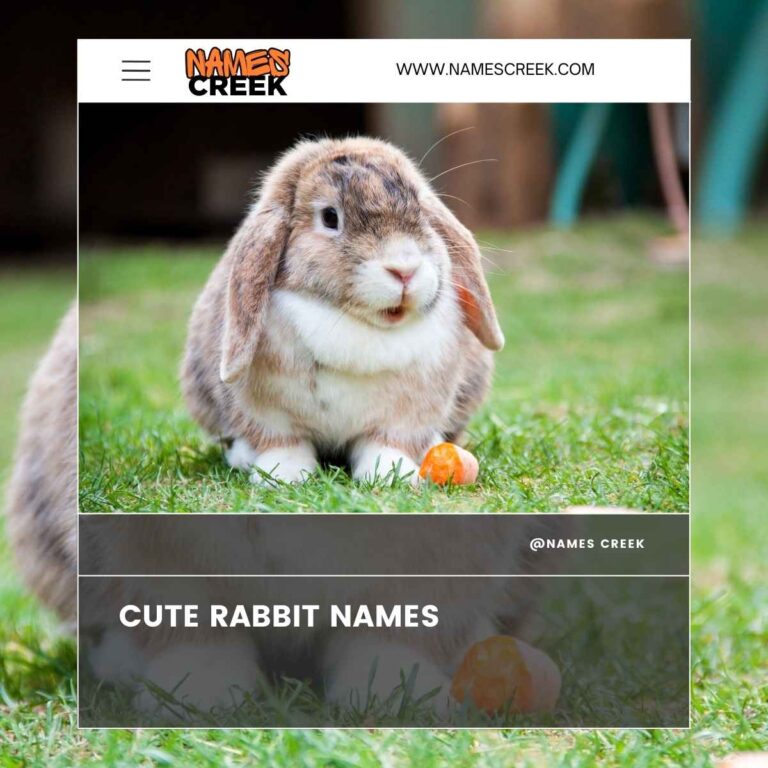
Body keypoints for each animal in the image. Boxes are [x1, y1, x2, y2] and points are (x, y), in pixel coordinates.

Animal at [181, 136, 504, 485]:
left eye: (420, 209)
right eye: (329, 217)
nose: (404, 269)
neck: (355, 323)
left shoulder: (405, 417)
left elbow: (385, 444)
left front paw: (391, 474)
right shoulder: (268, 415)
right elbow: (284, 443)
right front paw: (283, 475)